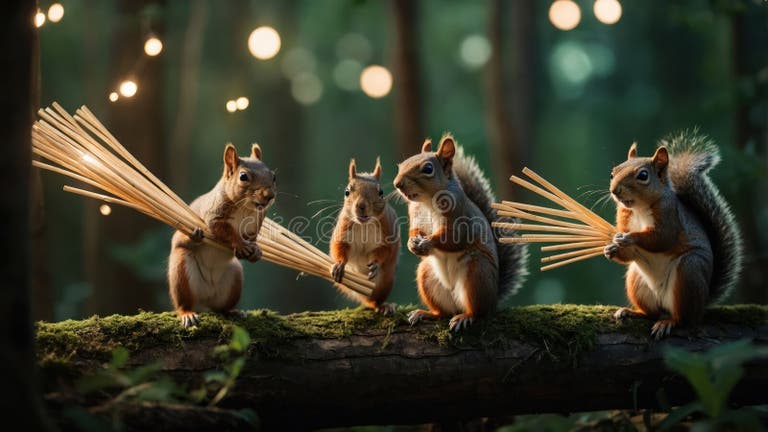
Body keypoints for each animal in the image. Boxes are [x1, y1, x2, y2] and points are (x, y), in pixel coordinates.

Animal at [168, 143, 276, 328]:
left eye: (273, 176)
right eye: (243, 177)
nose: (269, 196)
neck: (245, 208)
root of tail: (205, 298)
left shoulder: (255, 226)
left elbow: (252, 238)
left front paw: (256, 251)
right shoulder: (213, 215)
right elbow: (223, 230)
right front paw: (240, 244)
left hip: (235, 277)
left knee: (221, 307)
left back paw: (232, 312)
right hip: (181, 271)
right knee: (184, 302)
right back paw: (187, 313)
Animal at [330, 158, 400, 315]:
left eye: (381, 192)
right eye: (347, 192)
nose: (361, 206)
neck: (363, 224)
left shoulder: (387, 233)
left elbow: (385, 250)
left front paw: (375, 265)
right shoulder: (343, 229)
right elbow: (338, 246)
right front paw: (339, 265)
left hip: (384, 284)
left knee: (374, 301)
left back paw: (383, 306)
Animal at [393, 134, 528, 331]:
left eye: (428, 169)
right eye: (401, 165)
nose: (397, 184)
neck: (427, 201)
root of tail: (494, 299)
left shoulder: (461, 220)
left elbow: (453, 239)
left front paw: (428, 242)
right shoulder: (416, 216)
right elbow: (415, 231)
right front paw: (413, 243)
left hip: (477, 274)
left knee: (478, 311)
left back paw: (465, 316)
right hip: (427, 276)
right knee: (442, 313)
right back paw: (425, 314)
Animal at [603, 131, 742, 339]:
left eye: (643, 175)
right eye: (613, 172)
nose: (614, 191)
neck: (639, 208)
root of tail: (703, 302)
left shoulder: (670, 217)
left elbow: (662, 239)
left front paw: (630, 238)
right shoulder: (624, 217)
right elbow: (629, 254)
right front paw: (611, 248)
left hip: (689, 272)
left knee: (683, 318)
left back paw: (668, 322)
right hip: (636, 281)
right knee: (652, 313)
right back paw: (632, 312)